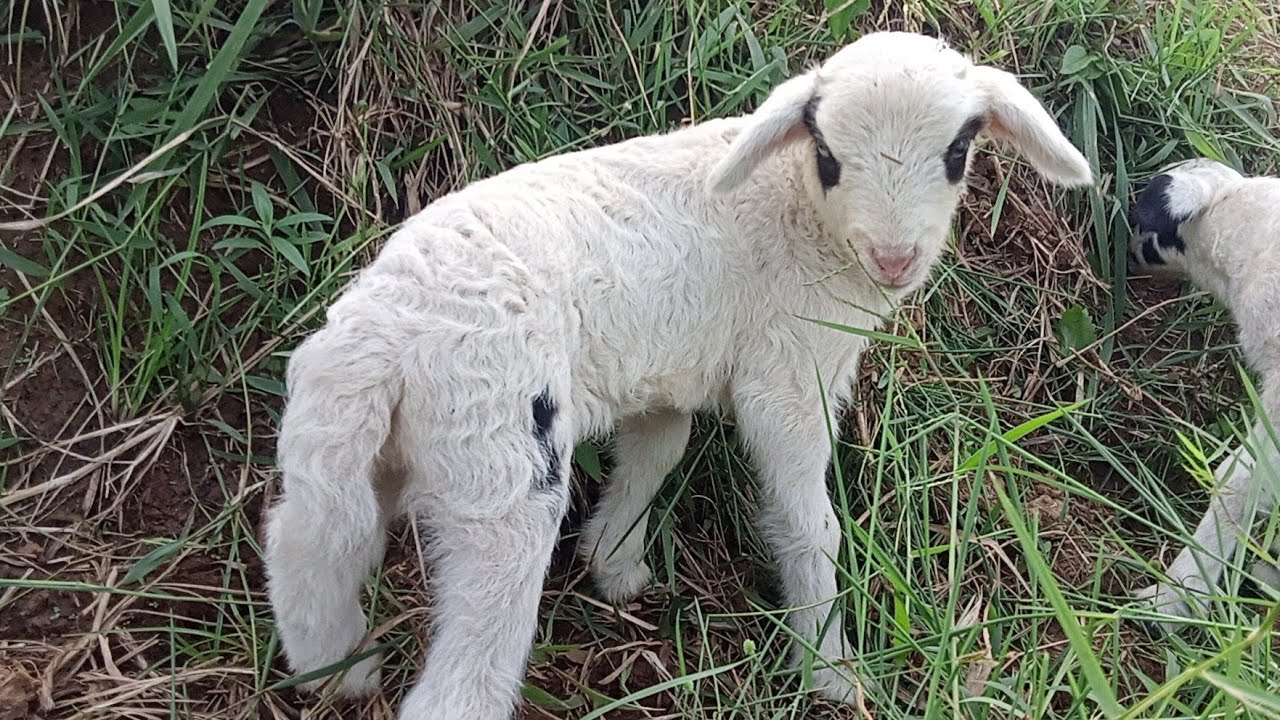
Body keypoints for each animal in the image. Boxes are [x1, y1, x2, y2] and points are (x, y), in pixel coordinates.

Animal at [262, 31, 1092, 720]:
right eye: (829, 156)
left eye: (958, 151)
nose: (895, 259)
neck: (800, 212)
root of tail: (384, 331)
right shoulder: (788, 373)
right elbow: (807, 523)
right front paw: (830, 670)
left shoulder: (664, 370)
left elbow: (657, 451)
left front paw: (614, 562)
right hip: (497, 456)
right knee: (462, 667)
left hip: (360, 441)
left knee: (308, 542)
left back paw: (337, 669)